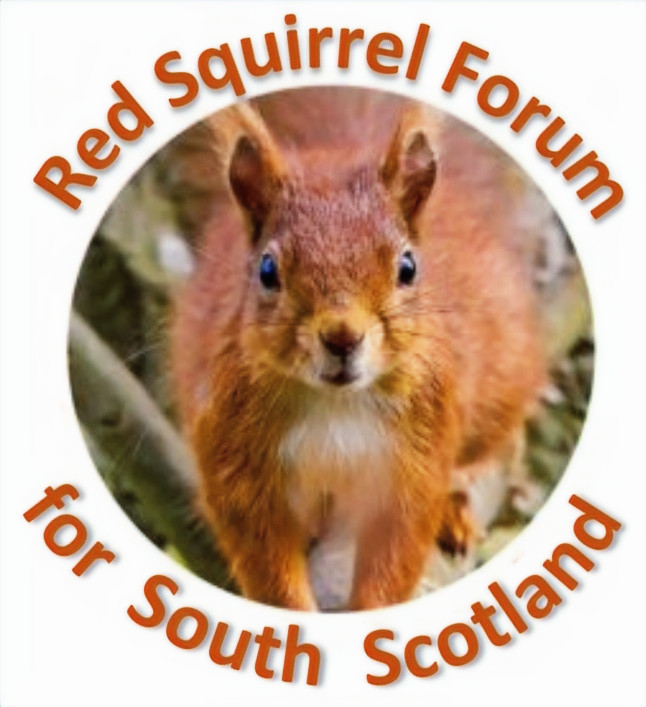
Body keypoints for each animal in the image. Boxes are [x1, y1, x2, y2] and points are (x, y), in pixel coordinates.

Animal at [169, 87, 546, 611]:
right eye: (267, 269)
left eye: (408, 267)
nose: (342, 336)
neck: (335, 402)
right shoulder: (236, 458)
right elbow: (264, 555)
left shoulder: (418, 452)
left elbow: (398, 548)